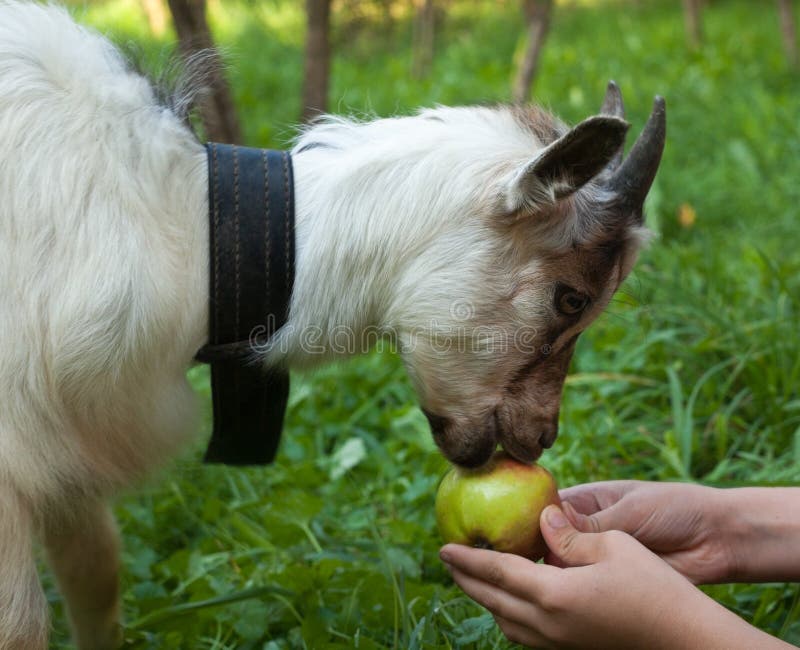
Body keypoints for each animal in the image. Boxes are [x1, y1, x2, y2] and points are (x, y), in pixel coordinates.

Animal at [0, 2, 665, 648]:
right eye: (573, 299)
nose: (542, 435)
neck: (184, 225)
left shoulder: (66, 447)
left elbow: (97, 577)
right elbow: (25, 623)